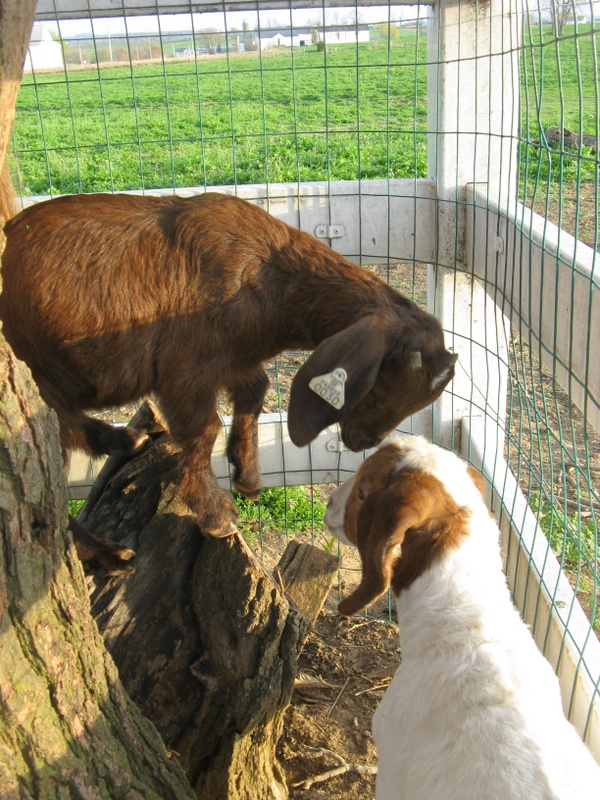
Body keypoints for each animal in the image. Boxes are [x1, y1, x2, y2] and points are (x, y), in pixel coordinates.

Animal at [0, 189, 456, 571]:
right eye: (376, 391)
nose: (362, 442)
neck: (264, 276)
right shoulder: (185, 371)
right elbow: (203, 429)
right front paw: (216, 514)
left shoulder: (236, 360)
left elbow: (255, 393)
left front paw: (247, 476)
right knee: (48, 484)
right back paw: (107, 552)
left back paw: (124, 440)